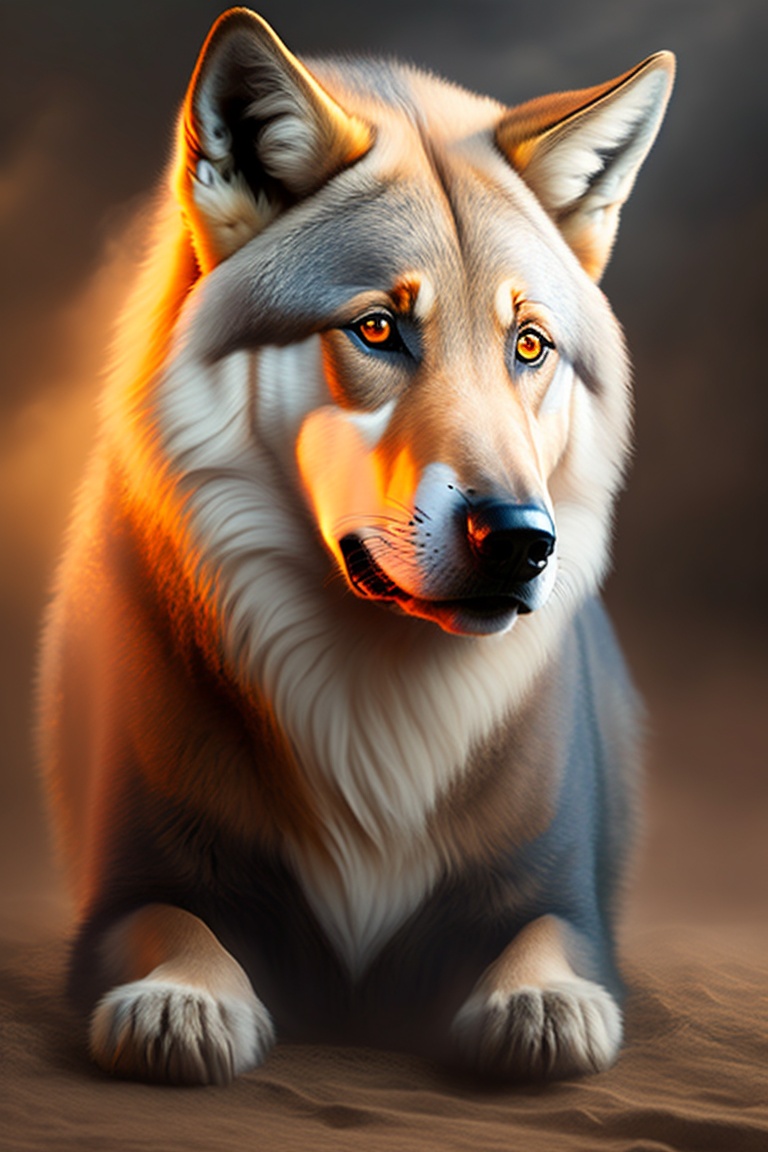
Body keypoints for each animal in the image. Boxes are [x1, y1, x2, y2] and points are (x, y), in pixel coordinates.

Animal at [38, 7, 674, 1085]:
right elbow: (173, 923)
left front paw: (542, 1003)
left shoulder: (561, 897)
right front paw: (181, 1001)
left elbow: (548, 940)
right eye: (379, 329)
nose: (520, 540)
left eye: (529, 346)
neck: (380, 700)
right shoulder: (128, 884)